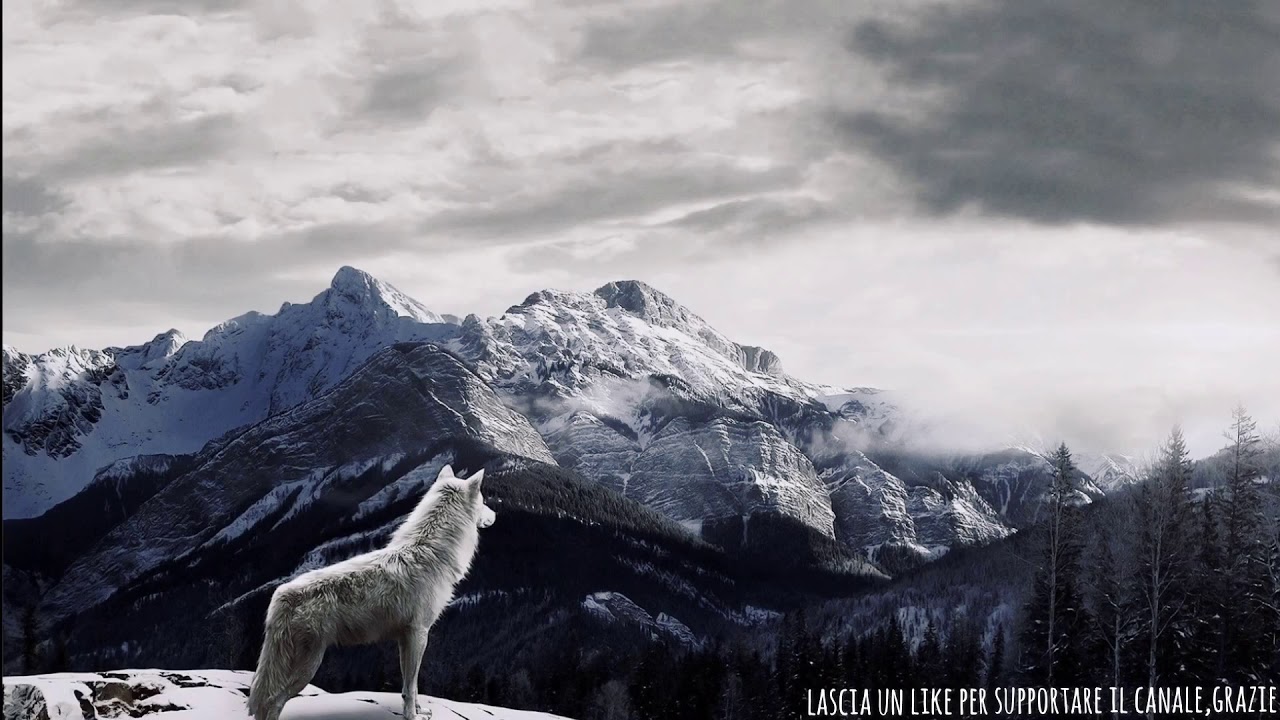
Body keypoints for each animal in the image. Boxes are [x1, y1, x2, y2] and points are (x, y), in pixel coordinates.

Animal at [247, 463, 496, 720]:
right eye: (484, 501)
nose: (495, 515)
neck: (430, 552)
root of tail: (282, 594)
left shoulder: (405, 638)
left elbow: (410, 686)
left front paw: (418, 709)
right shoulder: (419, 634)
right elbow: (412, 685)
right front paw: (412, 716)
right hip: (307, 668)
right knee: (272, 702)